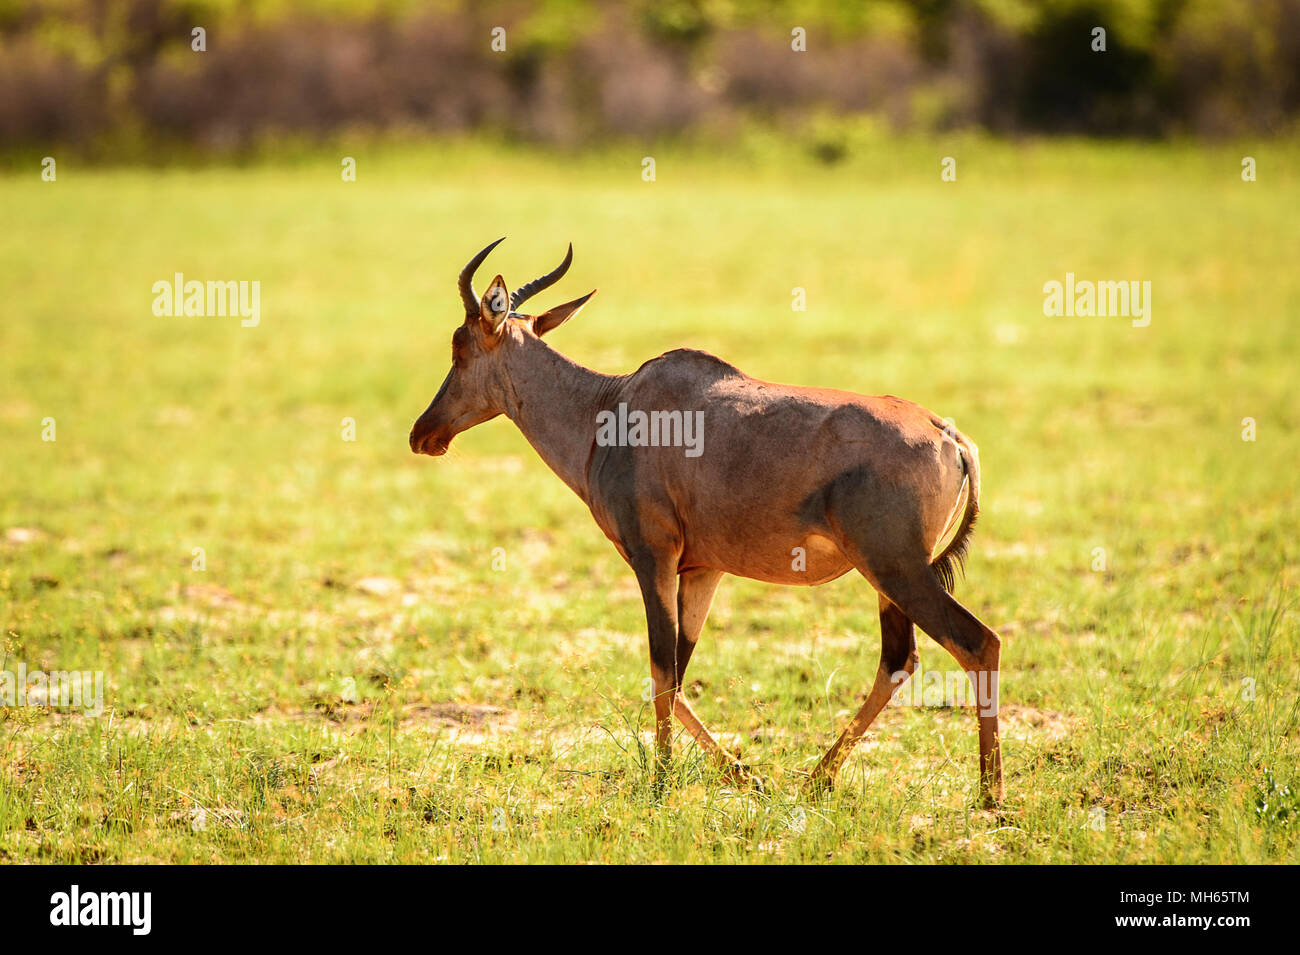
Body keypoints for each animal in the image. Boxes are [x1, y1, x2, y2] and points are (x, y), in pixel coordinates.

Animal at [409, 239, 1004, 806]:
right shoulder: (702, 570)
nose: (423, 433)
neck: (614, 406)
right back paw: (817, 782)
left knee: (977, 642)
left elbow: (661, 671)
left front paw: (661, 783)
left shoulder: (653, 557)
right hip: (889, 577)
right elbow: (677, 673)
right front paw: (747, 778)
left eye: (460, 345)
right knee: (899, 659)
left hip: (896, 568)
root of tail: (949, 436)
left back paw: (989, 794)